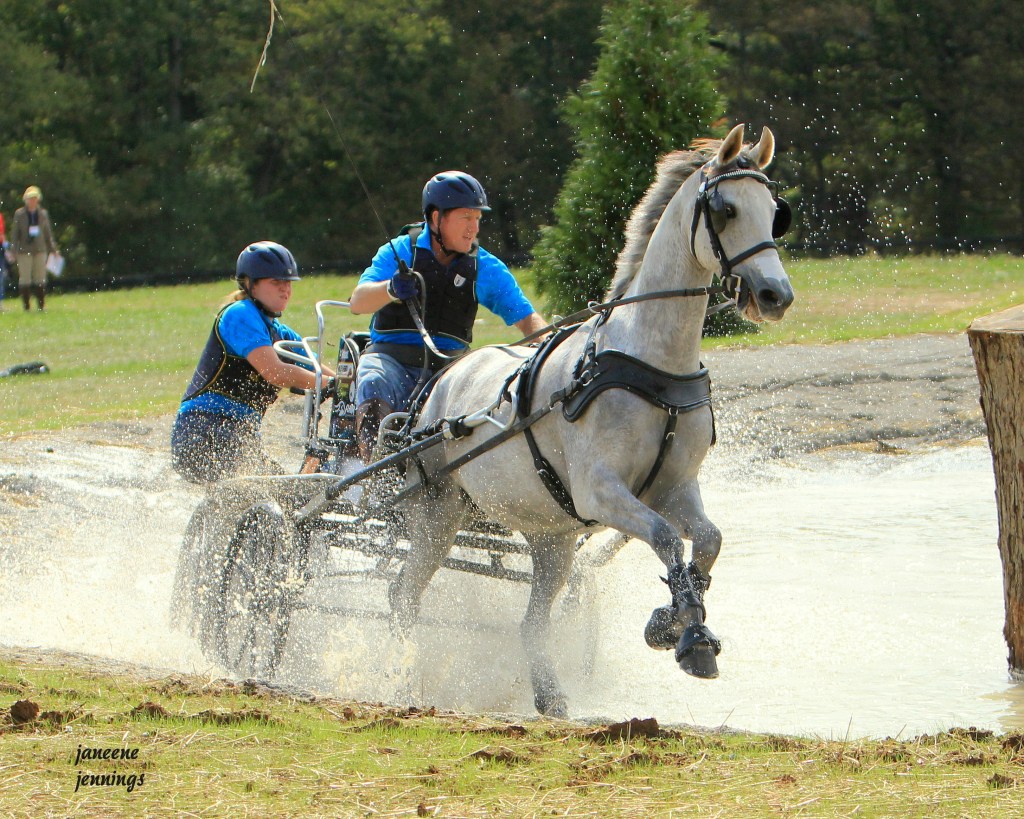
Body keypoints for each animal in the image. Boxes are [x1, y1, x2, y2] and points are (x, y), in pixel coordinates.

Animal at [389, 123, 795, 716]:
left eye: (775, 212)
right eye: (725, 209)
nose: (774, 294)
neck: (651, 365)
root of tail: (441, 380)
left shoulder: (675, 486)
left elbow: (708, 539)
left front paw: (675, 621)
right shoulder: (601, 490)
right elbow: (667, 538)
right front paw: (688, 634)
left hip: (550, 539)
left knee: (531, 622)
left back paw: (550, 696)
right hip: (436, 515)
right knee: (402, 598)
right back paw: (404, 681)